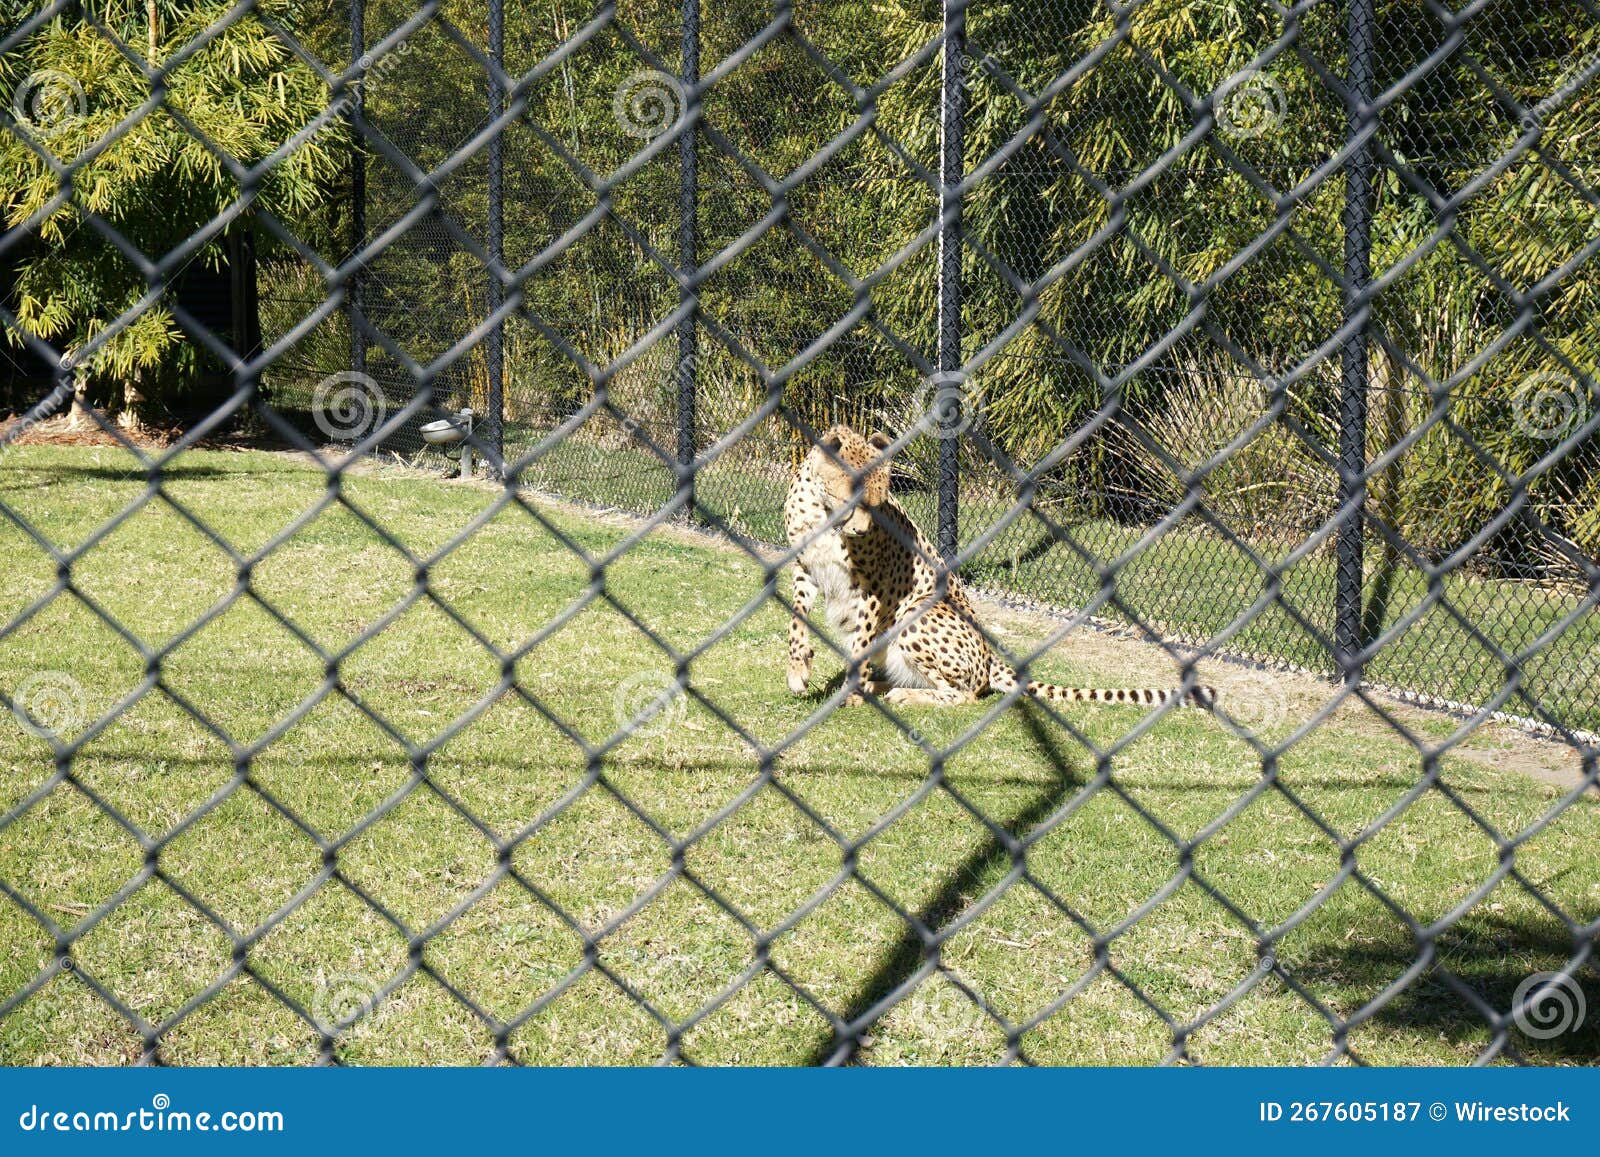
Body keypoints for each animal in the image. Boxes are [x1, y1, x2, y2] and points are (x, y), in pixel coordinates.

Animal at [783, 424, 1217, 709]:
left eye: (878, 502)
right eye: (851, 498)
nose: (859, 528)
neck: (823, 515)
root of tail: (990, 659)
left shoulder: (878, 585)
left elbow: (859, 644)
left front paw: (849, 692)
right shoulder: (804, 567)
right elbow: (796, 619)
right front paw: (799, 668)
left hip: (917, 613)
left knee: (969, 694)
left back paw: (903, 693)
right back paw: (879, 687)